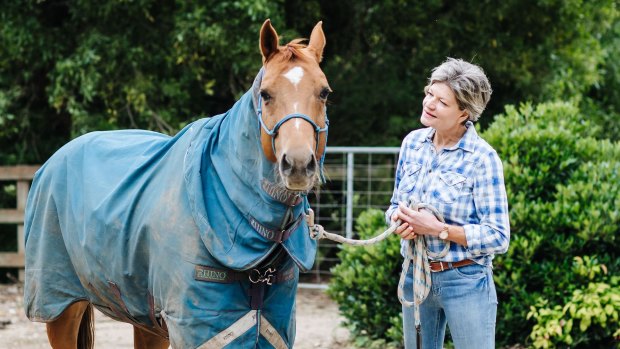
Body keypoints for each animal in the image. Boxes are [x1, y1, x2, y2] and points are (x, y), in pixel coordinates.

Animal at [25, 19, 330, 348]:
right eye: (266, 94)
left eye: (324, 92)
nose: (297, 164)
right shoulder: (194, 326)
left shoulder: (274, 327)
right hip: (60, 306)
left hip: (146, 319)